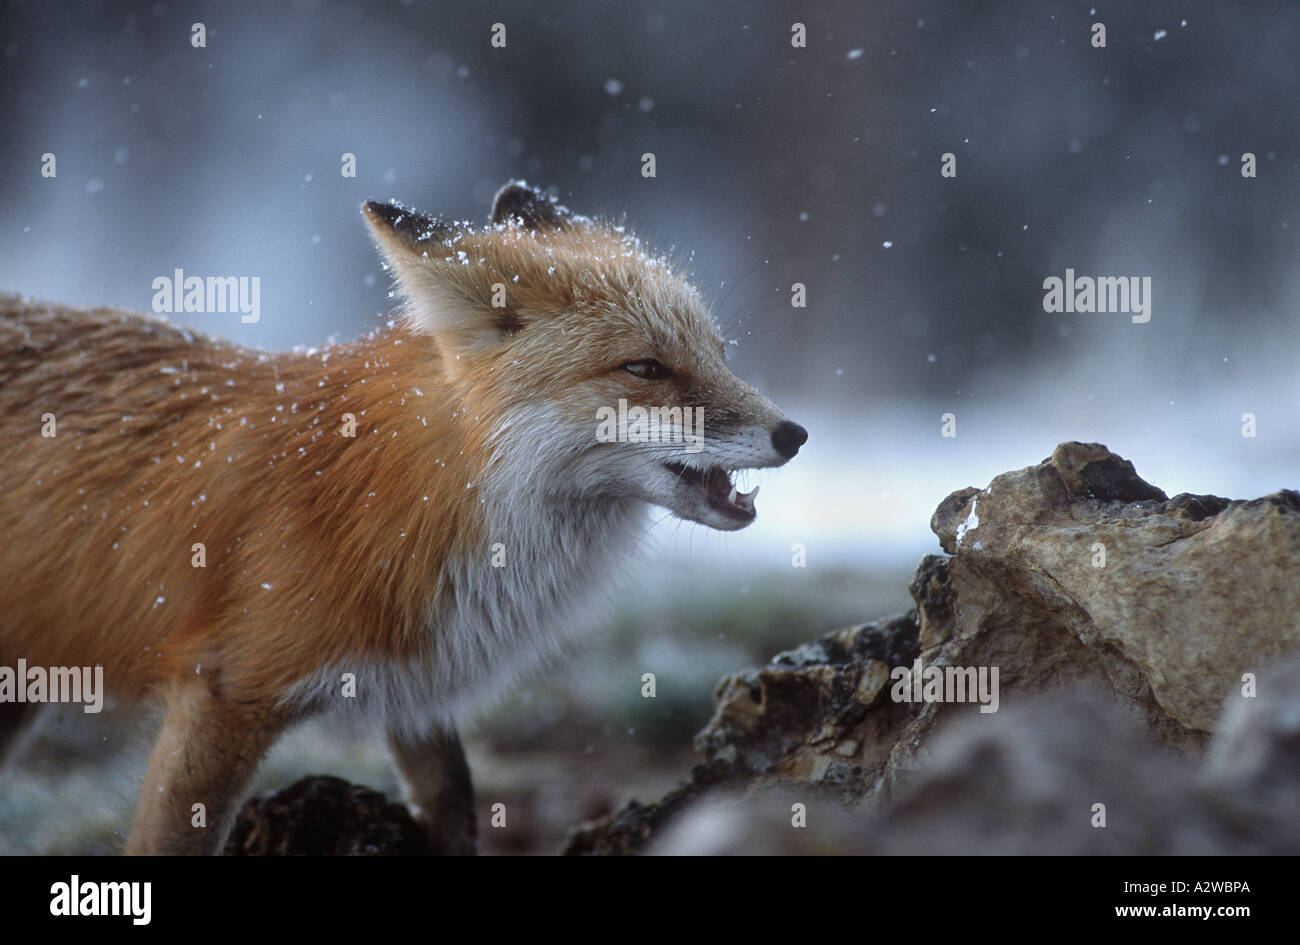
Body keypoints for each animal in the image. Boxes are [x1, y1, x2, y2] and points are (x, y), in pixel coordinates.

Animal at [0, 181, 807, 855]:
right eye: (645, 368)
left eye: (721, 353)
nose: (794, 434)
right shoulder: (226, 692)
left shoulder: (418, 692)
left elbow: (454, 805)